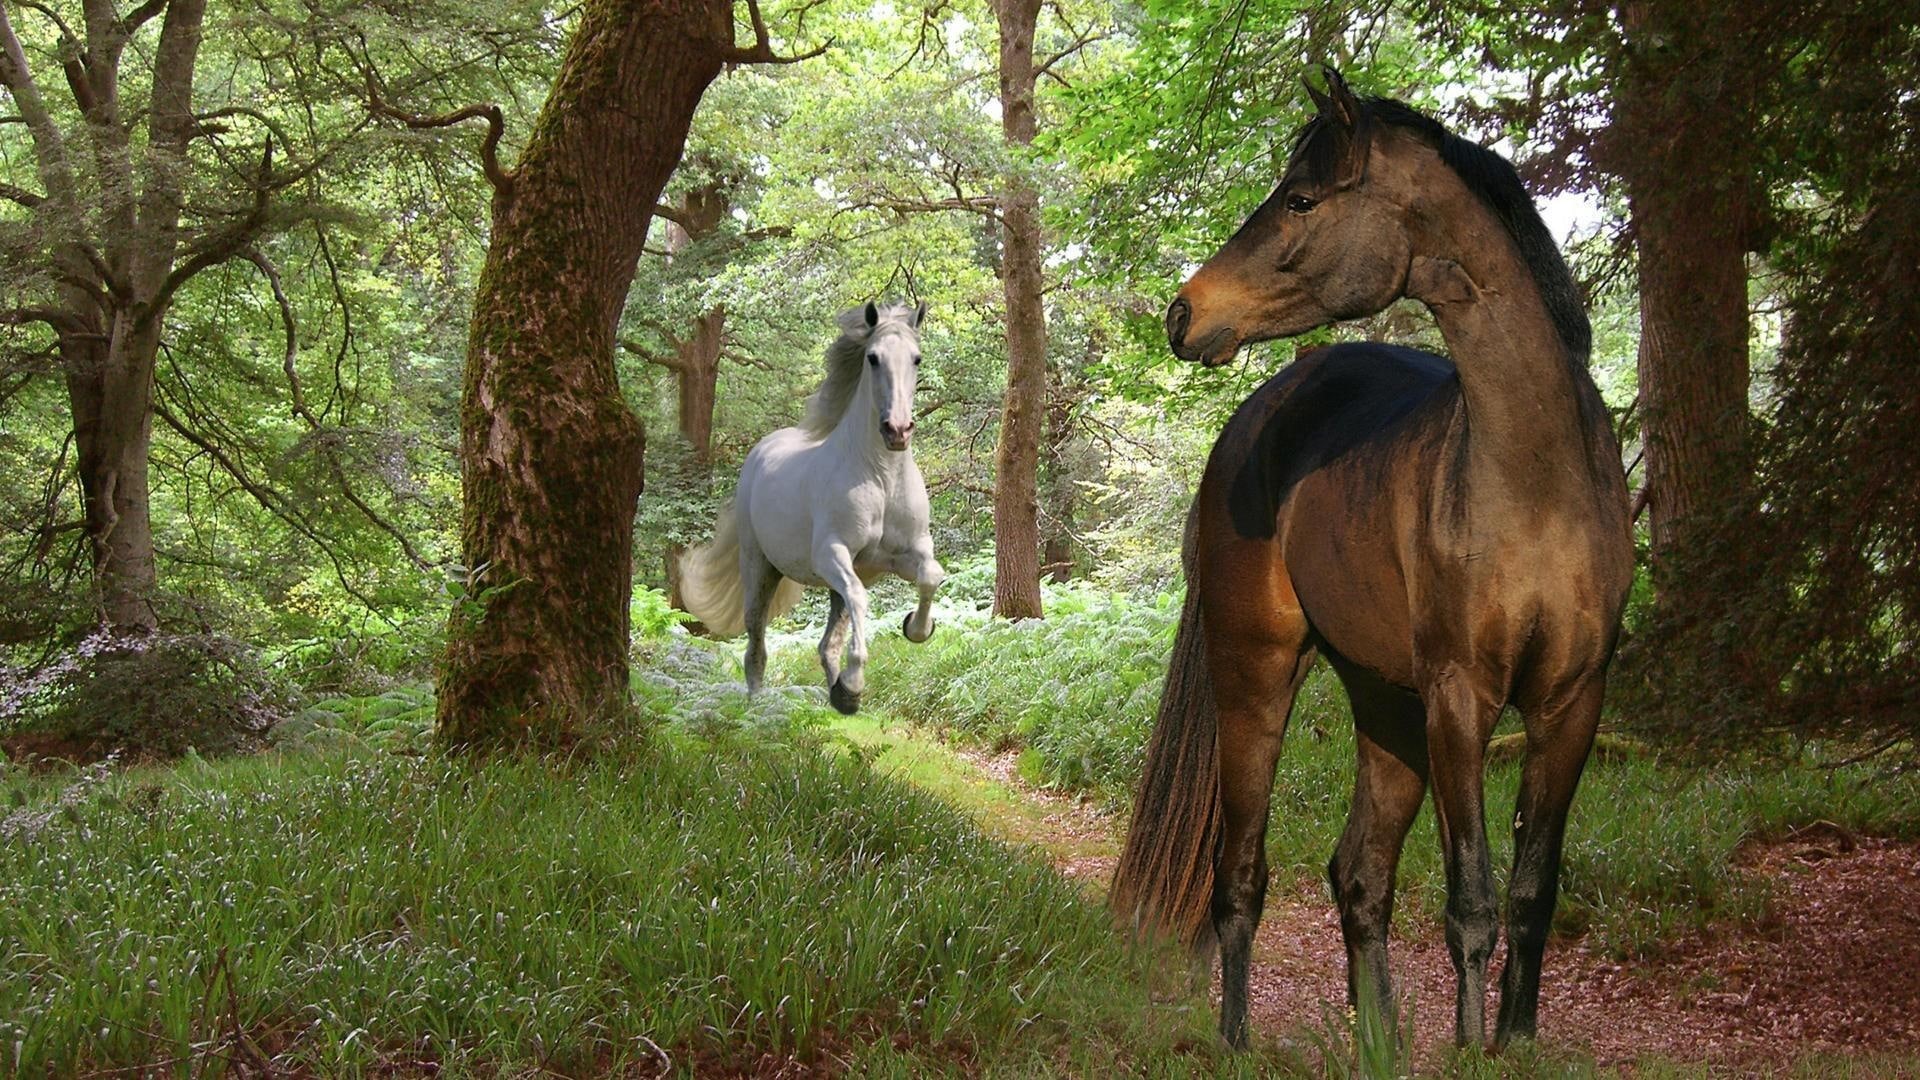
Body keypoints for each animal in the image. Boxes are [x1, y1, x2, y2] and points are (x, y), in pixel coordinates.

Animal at [679, 301, 945, 715]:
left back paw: (836, 692)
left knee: (827, 641)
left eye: (916, 358)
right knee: (756, 643)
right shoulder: (831, 554)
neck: (881, 477)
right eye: (873, 358)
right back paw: (760, 708)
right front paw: (853, 685)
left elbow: (931, 576)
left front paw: (916, 628)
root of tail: (761, 451)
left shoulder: (904, 553)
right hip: (760, 568)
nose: (897, 430)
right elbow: (861, 598)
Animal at [1111, 70, 1633, 1051]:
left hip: (1385, 704)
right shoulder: (1462, 699)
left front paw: (1510, 1045)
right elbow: (1472, 903)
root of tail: (1258, 418)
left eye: (1301, 198)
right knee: (1241, 875)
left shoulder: (1572, 704)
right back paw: (1236, 1041)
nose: (1183, 312)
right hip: (1257, 680)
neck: (1538, 477)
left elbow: (1531, 894)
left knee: (1357, 875)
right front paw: (1470, 1053)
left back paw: (1378, 1042)